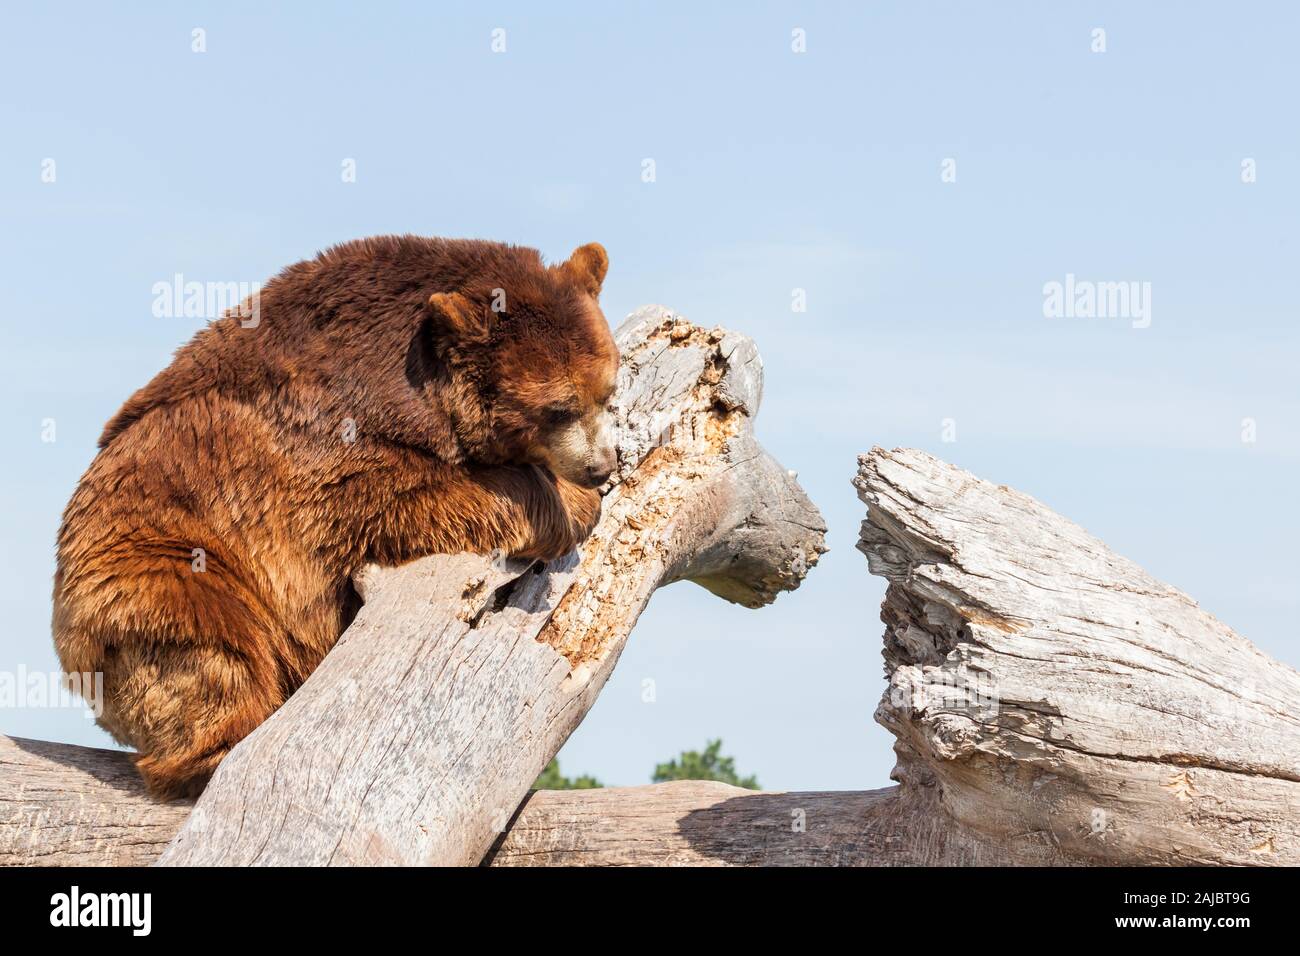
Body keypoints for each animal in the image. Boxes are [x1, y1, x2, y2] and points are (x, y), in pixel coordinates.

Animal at [52, 236, 621, 798]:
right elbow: (395, 496)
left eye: (606, 392)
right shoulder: (316, 442)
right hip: (151, 567)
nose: (601, 466)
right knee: (213, 646)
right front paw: (570, 504)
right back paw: (217, 750)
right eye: (557, 407)